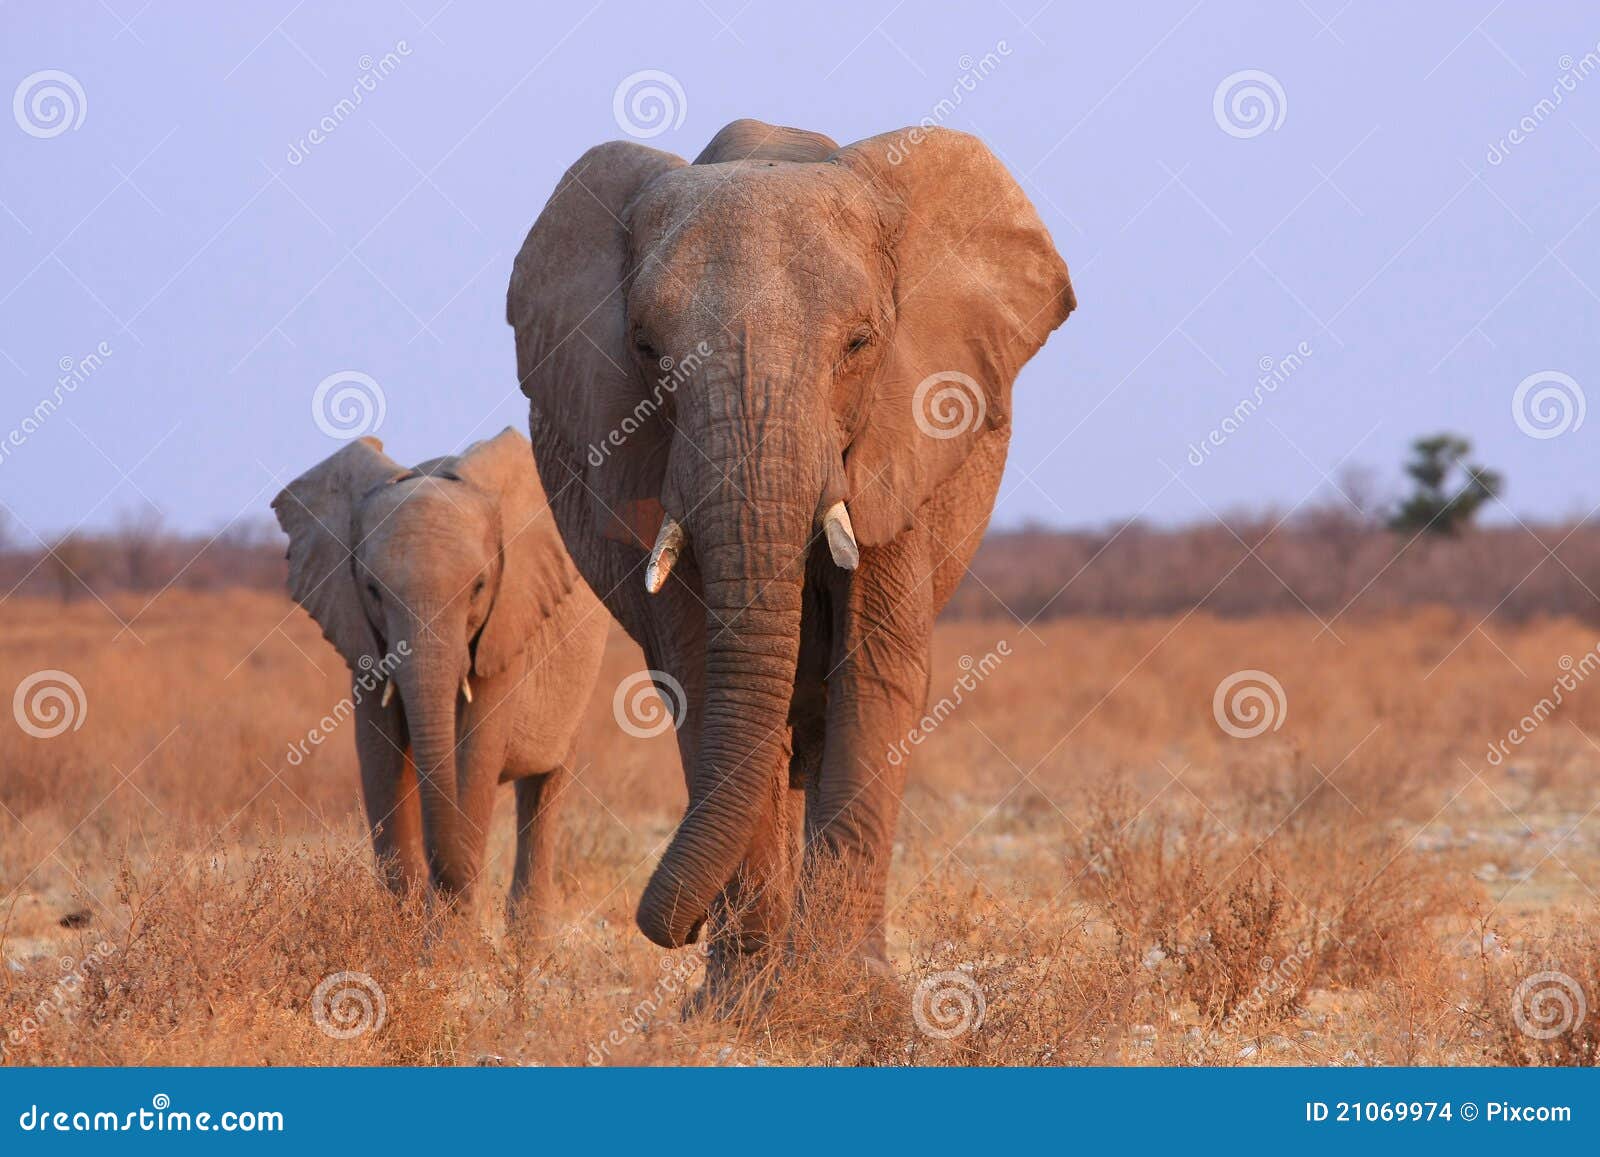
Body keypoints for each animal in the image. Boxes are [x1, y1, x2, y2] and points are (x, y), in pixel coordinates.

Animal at [271, 427, 607, 924]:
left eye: (479, 588)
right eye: (372, 590)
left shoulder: (507, 624)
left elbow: (475, 754)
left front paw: (449, 939)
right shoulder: (362, 634)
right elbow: (381, 758)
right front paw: (406, 931)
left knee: (544, 788)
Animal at [507, 119, 1074, 996]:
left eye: (859, 344)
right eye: (645, 347)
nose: (674, 925)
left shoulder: (901, 436)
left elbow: (877, 670)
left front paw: (846, 993)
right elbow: (705, 679)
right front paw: (741, 1002)